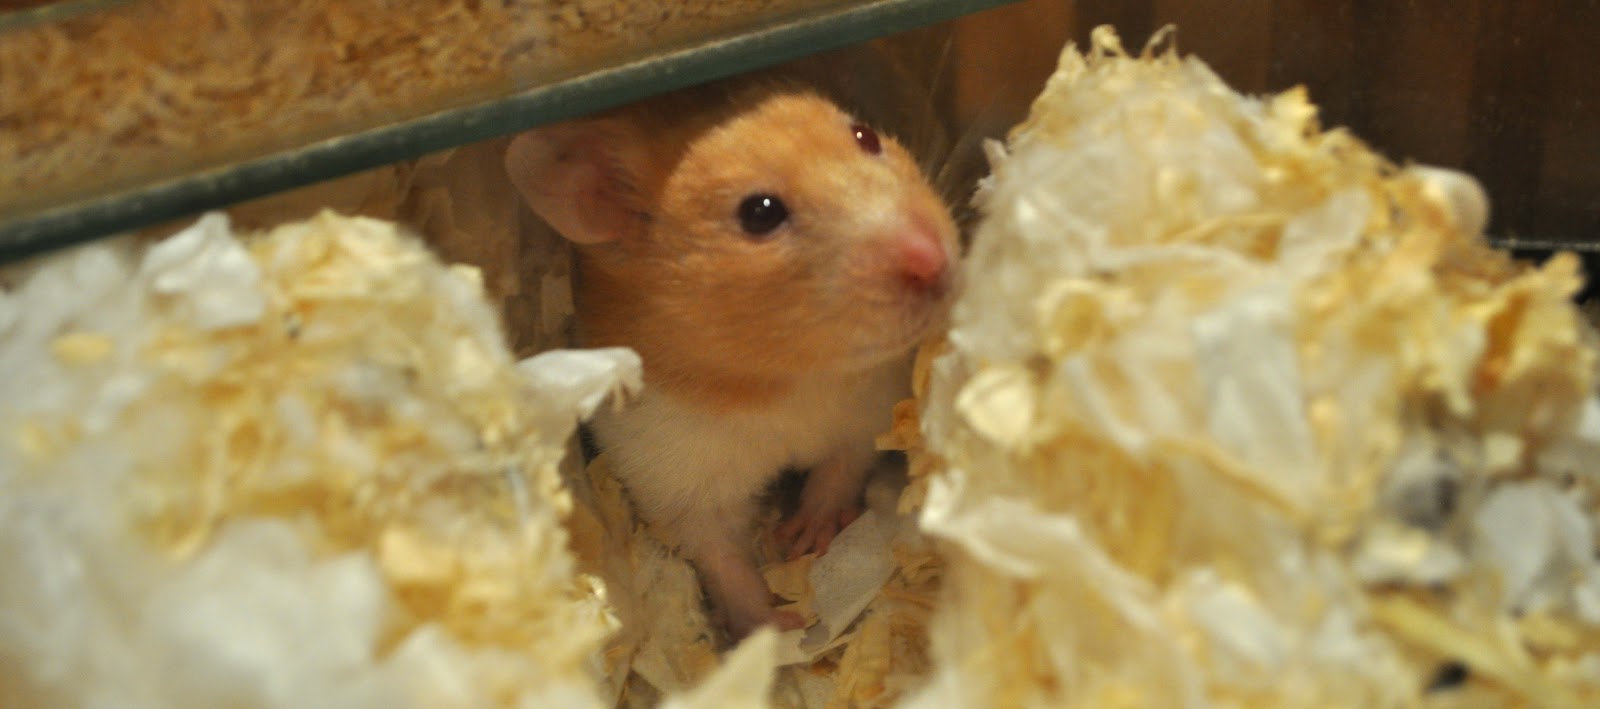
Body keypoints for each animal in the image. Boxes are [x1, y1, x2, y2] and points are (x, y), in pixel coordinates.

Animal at [505, 78, 959, 639]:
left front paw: (806, 538)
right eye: (760, 212)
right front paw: (777, 627)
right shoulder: (676, 480)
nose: (933, 259)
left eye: (866, 136)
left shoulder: (864, 412)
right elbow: (723, 559)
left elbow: (839, 469)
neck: (791, 379)